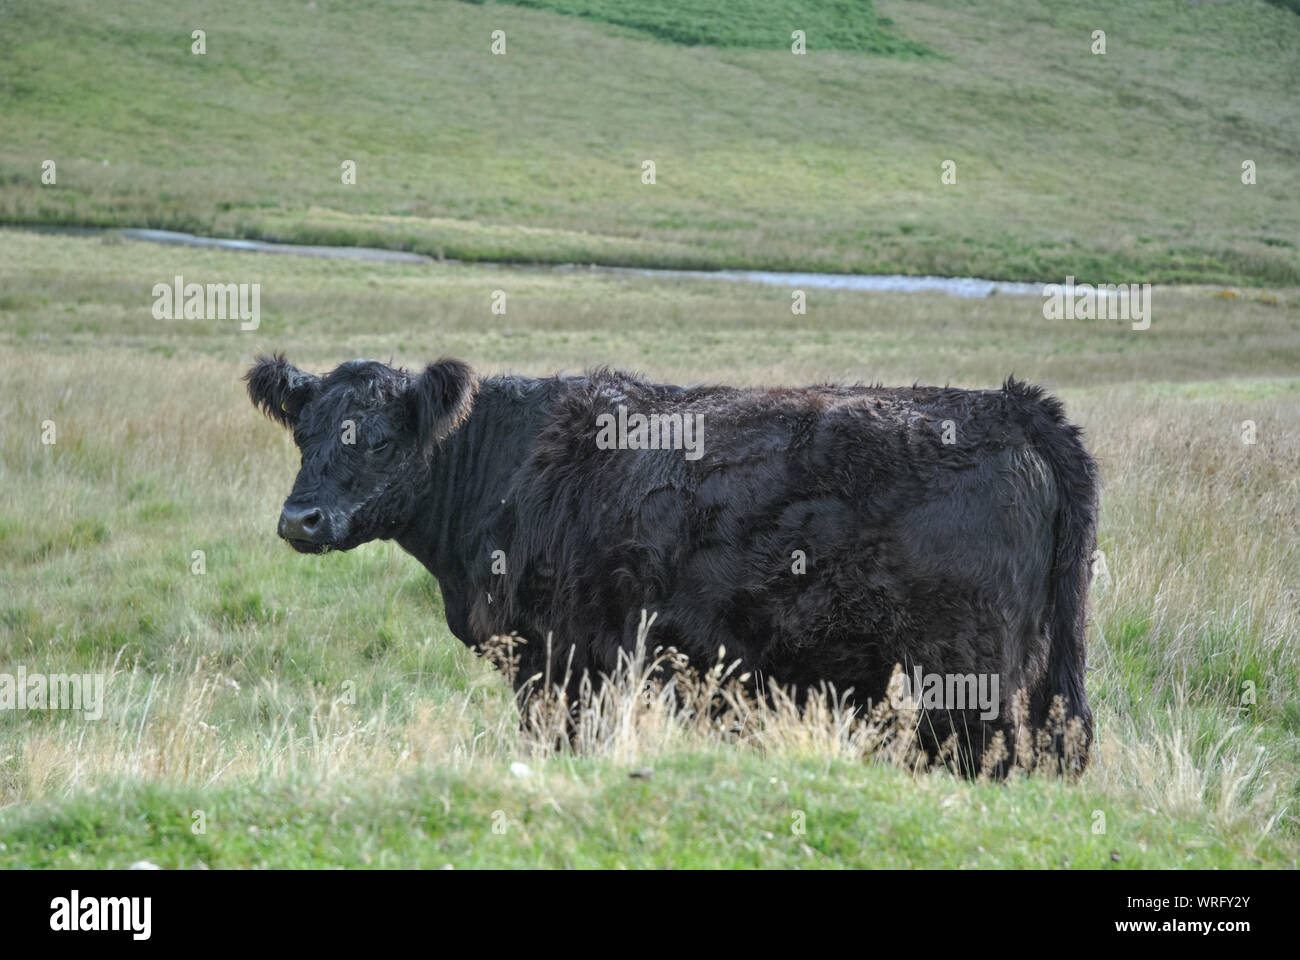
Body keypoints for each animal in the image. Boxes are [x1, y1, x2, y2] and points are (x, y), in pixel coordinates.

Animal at [246, 355, 1098, 774]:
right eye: (304, 434)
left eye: (380, 438)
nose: (300, 520)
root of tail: (1014, 405)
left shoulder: (554, 665)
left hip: (965, 681)